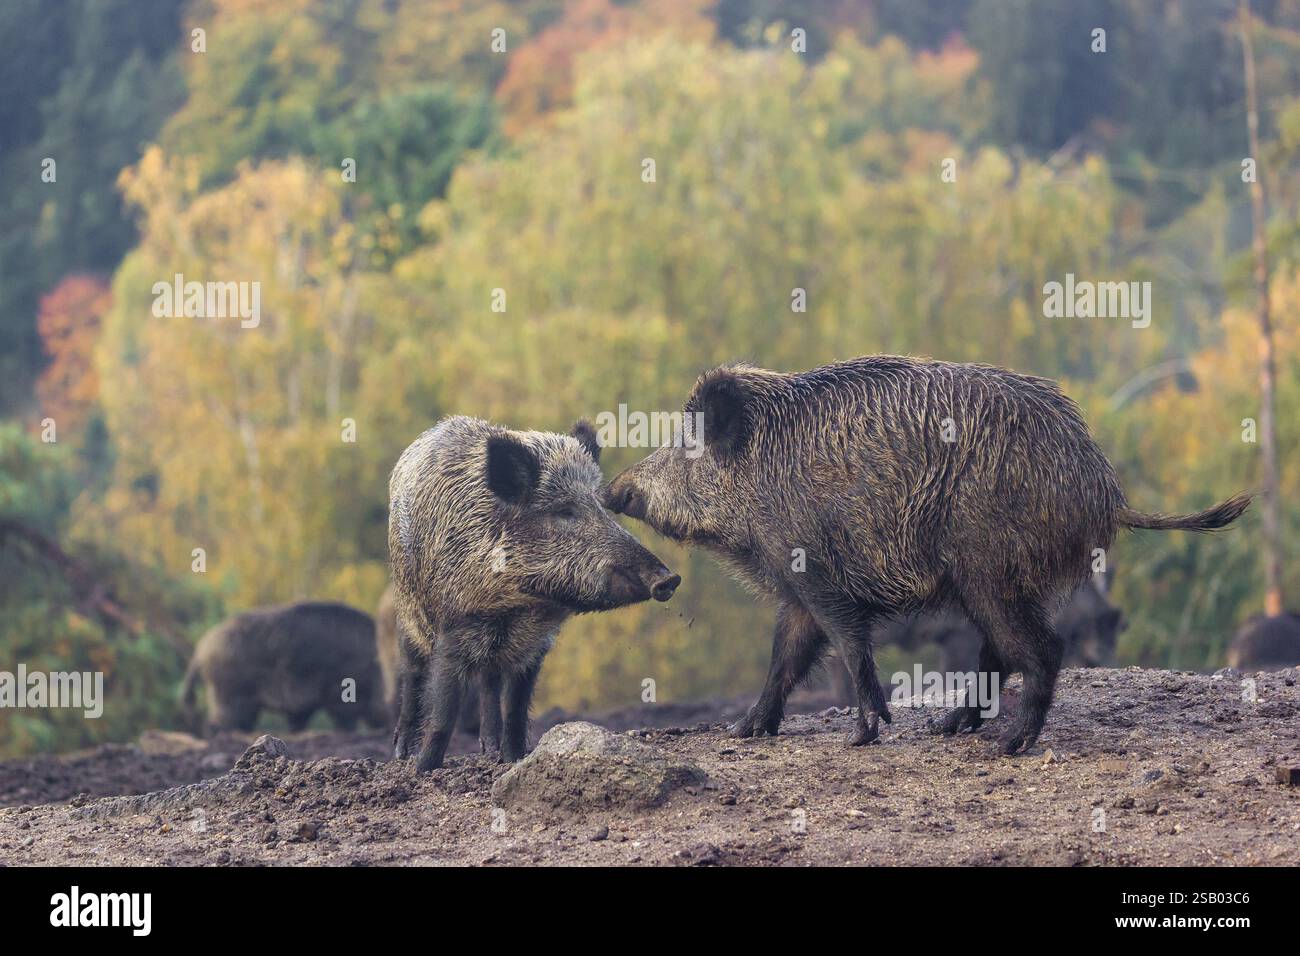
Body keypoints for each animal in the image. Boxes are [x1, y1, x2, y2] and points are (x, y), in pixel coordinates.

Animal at [181, 601, 388, 734]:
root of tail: (200, 649)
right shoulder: (341, 692)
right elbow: (346, 720)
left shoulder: (305, 704)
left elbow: (299, 721)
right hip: (228, 694)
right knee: (217, 724)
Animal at [388, 416, 679, 771]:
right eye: (564, 511)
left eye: (599, 505)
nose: (669, 579)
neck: (521, 605)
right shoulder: (454, 629)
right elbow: (445, 709)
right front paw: (424, 768)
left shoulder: (535, 647)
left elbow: (515, 708)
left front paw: (515, 759)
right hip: (407, 612)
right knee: (411, 672)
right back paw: (401, 753)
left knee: (489, 681)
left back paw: (489, 749)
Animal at [607, 357, 1250, 754]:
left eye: (684, 445)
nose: (614, 490)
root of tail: (1106, 492)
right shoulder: (799, 593)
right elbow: (784, 659)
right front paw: (742, 732)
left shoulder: (818, 574)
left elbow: (848, 649)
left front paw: (864, 735)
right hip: (995, 585)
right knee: (1001, 651)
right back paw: (950, 726)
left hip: (989, 570)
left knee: (1041, 649)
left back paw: (1010, 745)